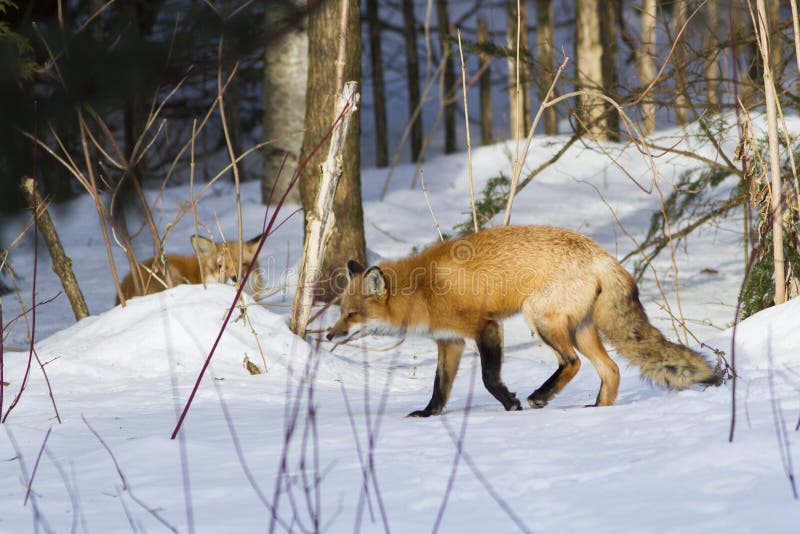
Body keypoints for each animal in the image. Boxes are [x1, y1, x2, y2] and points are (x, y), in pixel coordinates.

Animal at [326, 225, 723, 417]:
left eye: (351, 314)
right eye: (340, 310)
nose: (329, 335)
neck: (423, 289)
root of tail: (605, 256)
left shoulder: (486, 327)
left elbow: (489, 379)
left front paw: (511, 404)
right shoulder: (449, 341)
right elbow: (440, 387)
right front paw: (427, 415)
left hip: (542, 318)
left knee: (572, 363)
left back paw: (540, 397)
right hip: (581, 329)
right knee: (610, 370)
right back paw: (598, 411)